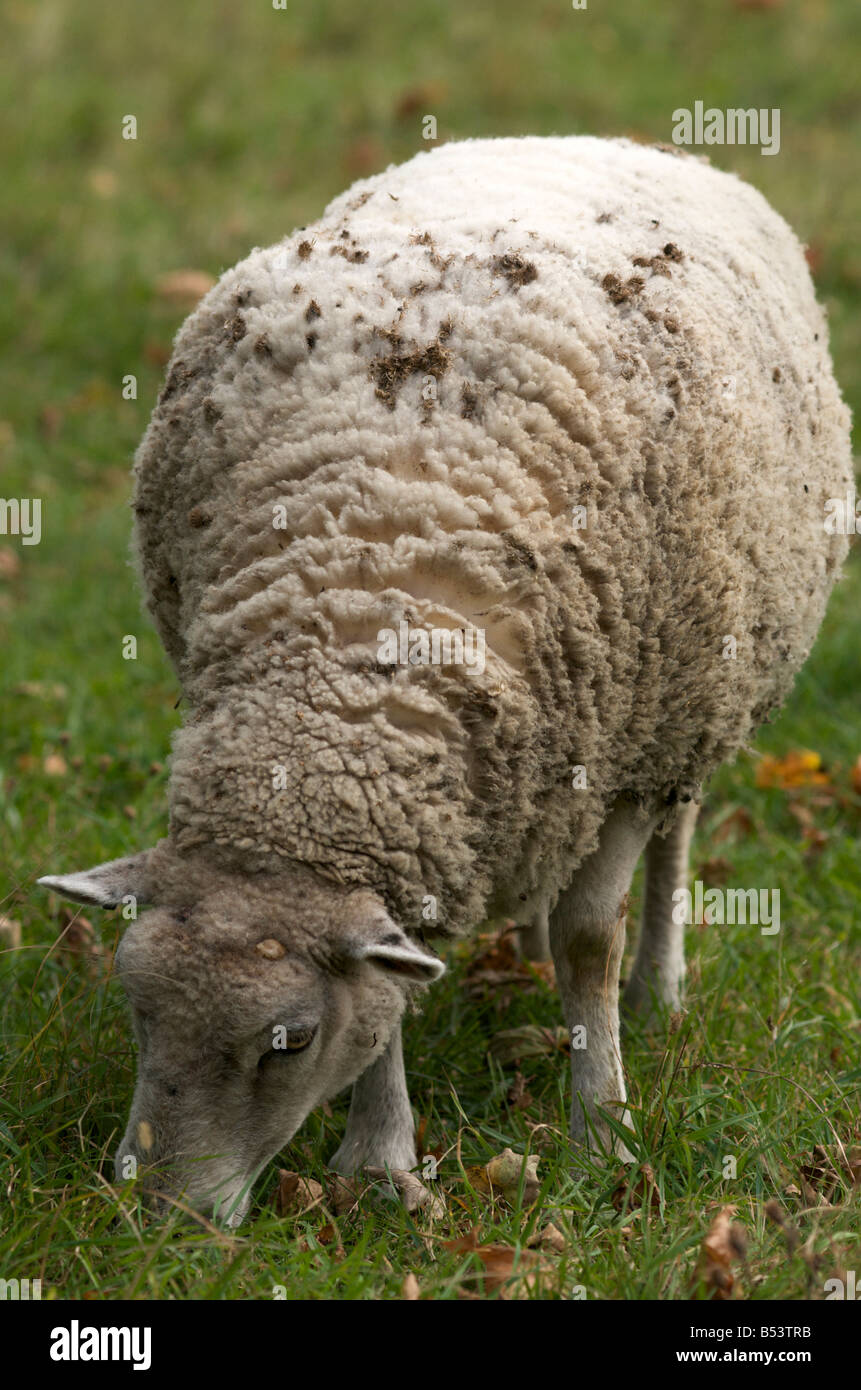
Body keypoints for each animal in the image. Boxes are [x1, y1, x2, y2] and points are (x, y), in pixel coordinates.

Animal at [39, 135, 852, 1226]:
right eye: (135, 1013)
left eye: (289, 1042)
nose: (162, 1221)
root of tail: (586, 138)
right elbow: (396, 985)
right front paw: (381, 1164)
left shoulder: (626, 751)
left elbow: (591, 936)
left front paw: (604, 1130)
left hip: (694, 697)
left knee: (673, 839)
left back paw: (654, 992)